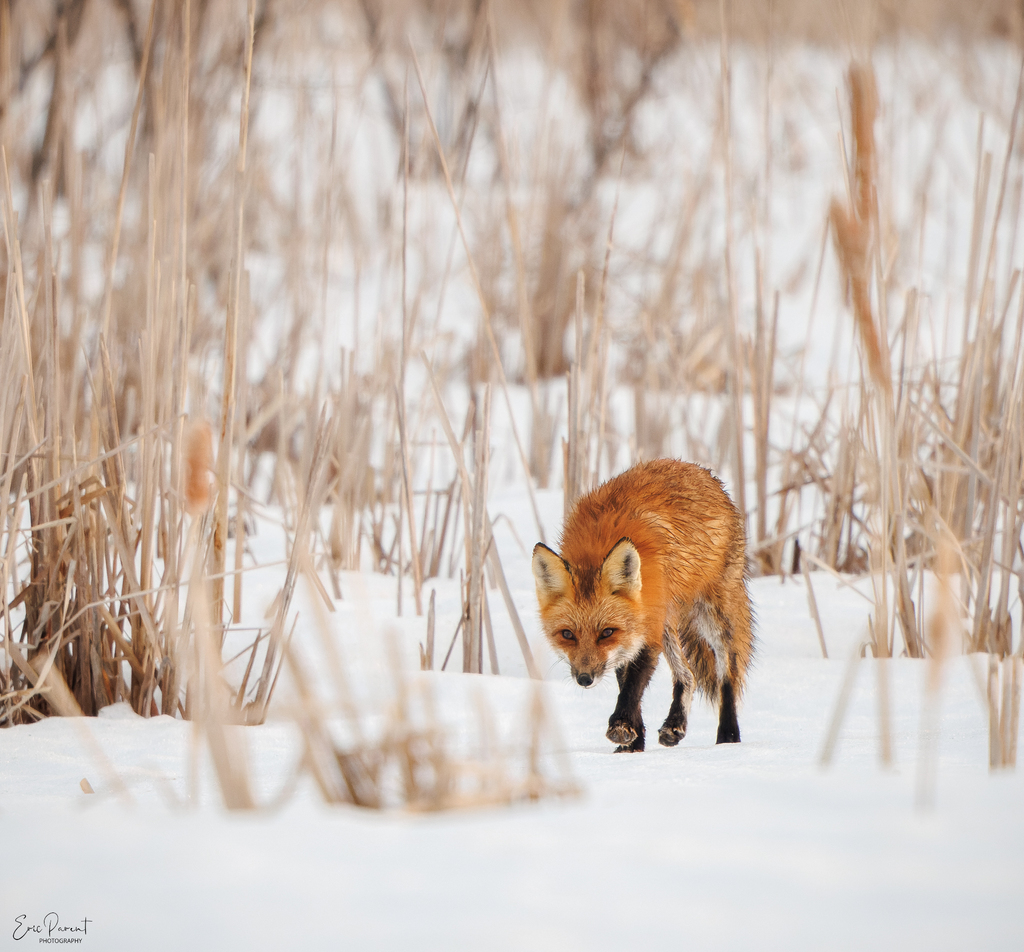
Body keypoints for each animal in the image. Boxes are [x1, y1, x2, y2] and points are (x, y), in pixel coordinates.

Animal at [532, 458, 754, 752]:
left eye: (606, 632)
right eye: (567, 634)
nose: (585, 679)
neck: (595, 549)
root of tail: (699, 470)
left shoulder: (646, 628)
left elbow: (632, 685)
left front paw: (621, 726)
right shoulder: (632, 633)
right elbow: (626, 680)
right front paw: (634, 743)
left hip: (712, 617)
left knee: (727, 673)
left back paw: (728, 737)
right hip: (669, 623)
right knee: (688, 675)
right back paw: (675, 726)